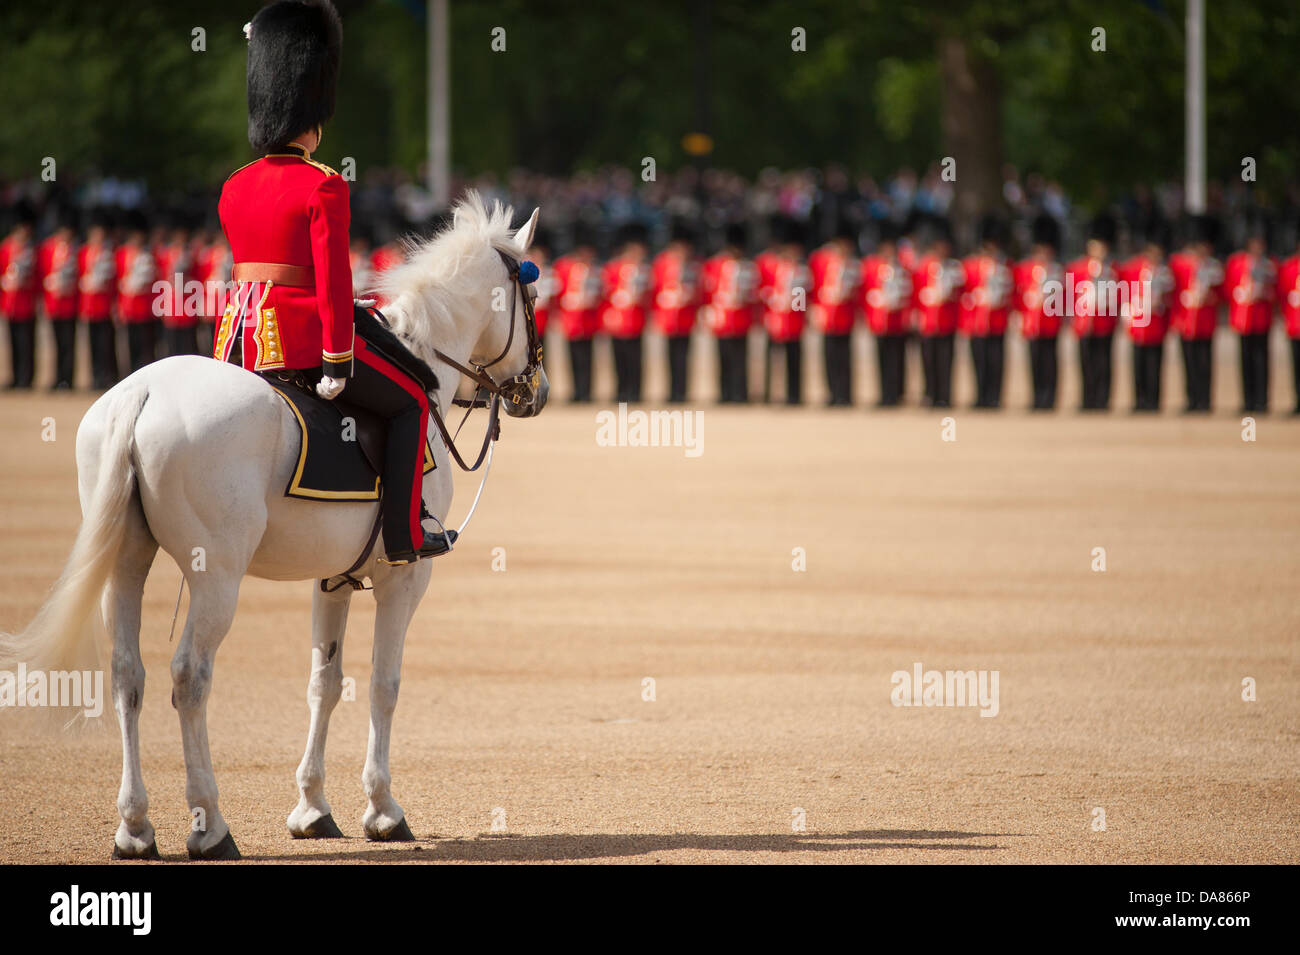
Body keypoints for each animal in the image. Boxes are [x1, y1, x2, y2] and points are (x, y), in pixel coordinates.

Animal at [0, 191, 548, 859]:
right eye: (532, 295)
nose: (536, 392)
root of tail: (143, 392)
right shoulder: (404, 575)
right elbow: (384, 683)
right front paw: (383, 809)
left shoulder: (334, 578)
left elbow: (325, 681)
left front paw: (312, 807)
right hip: (217, 576)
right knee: (190, 677)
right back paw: (209, 824)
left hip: (126, 563)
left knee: (128, 676)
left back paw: (135, 827)